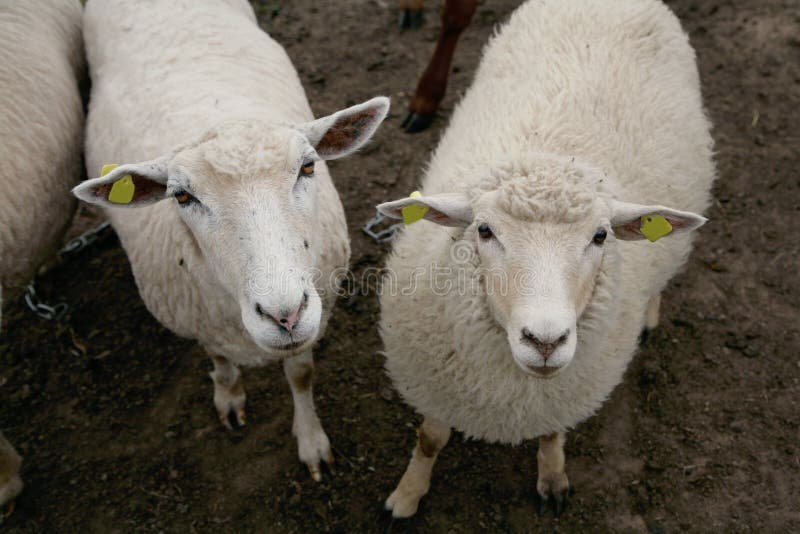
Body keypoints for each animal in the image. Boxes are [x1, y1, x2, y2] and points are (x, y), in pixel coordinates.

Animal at [73, 0, 388, 481]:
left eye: (309, 167)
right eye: (182, 196)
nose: (285, 316)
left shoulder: (313, 318)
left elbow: (301, 375)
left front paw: (311, 441)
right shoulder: (199, 320)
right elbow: (219, 360)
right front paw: (229, 395)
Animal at [377, 0, 714, 518]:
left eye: (600, 236)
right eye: (484, 230)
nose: (546, 341)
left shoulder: (561, 393)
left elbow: (553, 432)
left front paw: (552, 477)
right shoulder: (436, 384)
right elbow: (430, 439)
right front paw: (407, 496)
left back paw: (650, 314)